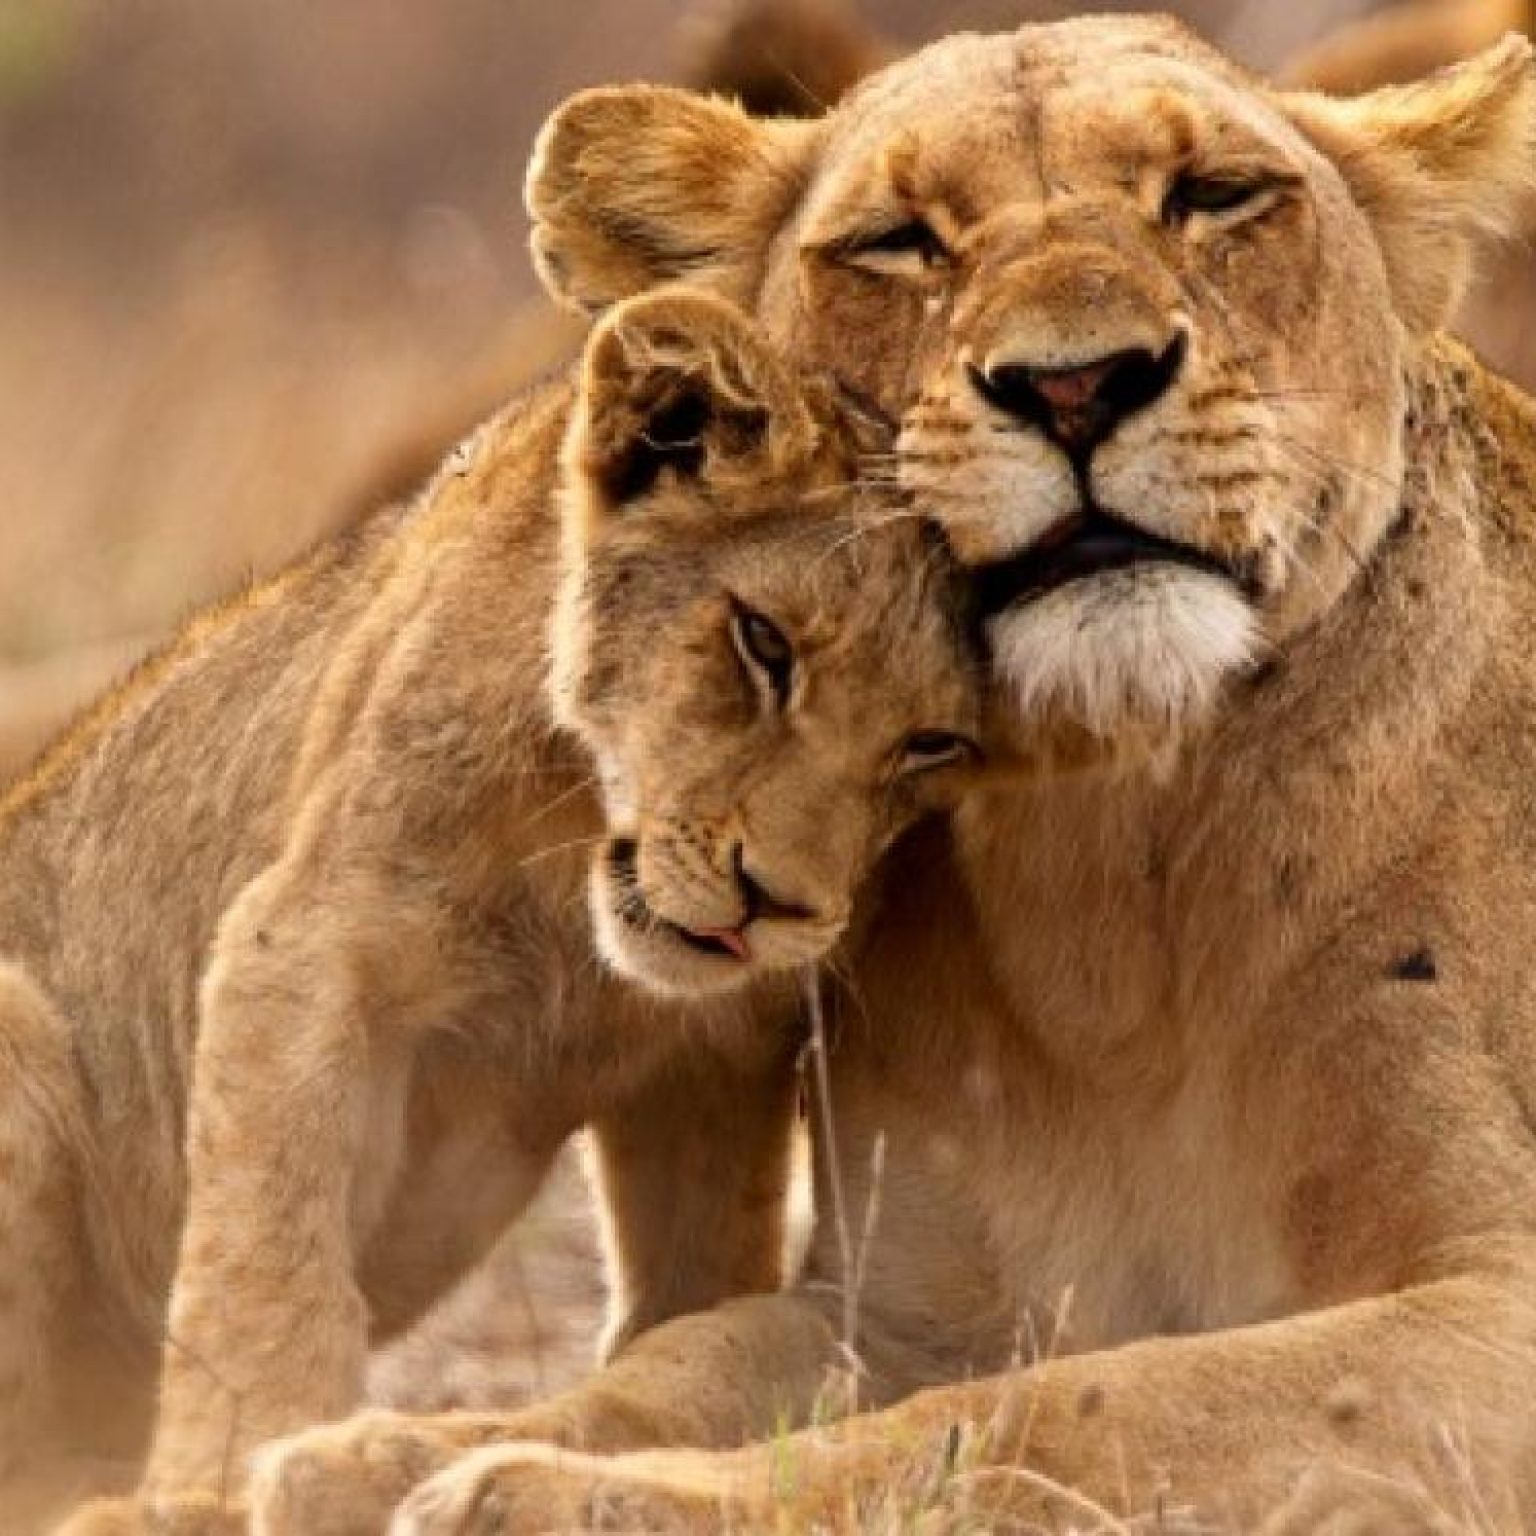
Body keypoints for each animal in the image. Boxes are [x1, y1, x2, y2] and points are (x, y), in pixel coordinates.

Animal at [7, 287, 986, 1535]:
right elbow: (268, 1267)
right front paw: (218, 1485)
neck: (574, 859)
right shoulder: (299, 948)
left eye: (933, 744)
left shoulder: (714, 1053)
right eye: (763, 643)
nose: (775, 905)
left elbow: (700, 1275)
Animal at [250, 15, 1536, 1534]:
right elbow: (685, 1362)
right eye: (898, 242)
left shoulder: (1494, 1313)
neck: (1113, 879)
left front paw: (549, 1493)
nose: (1075, 383)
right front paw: (392, 1452)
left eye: (1216, 195)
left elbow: (1071, 1408)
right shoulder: (899, 1308)